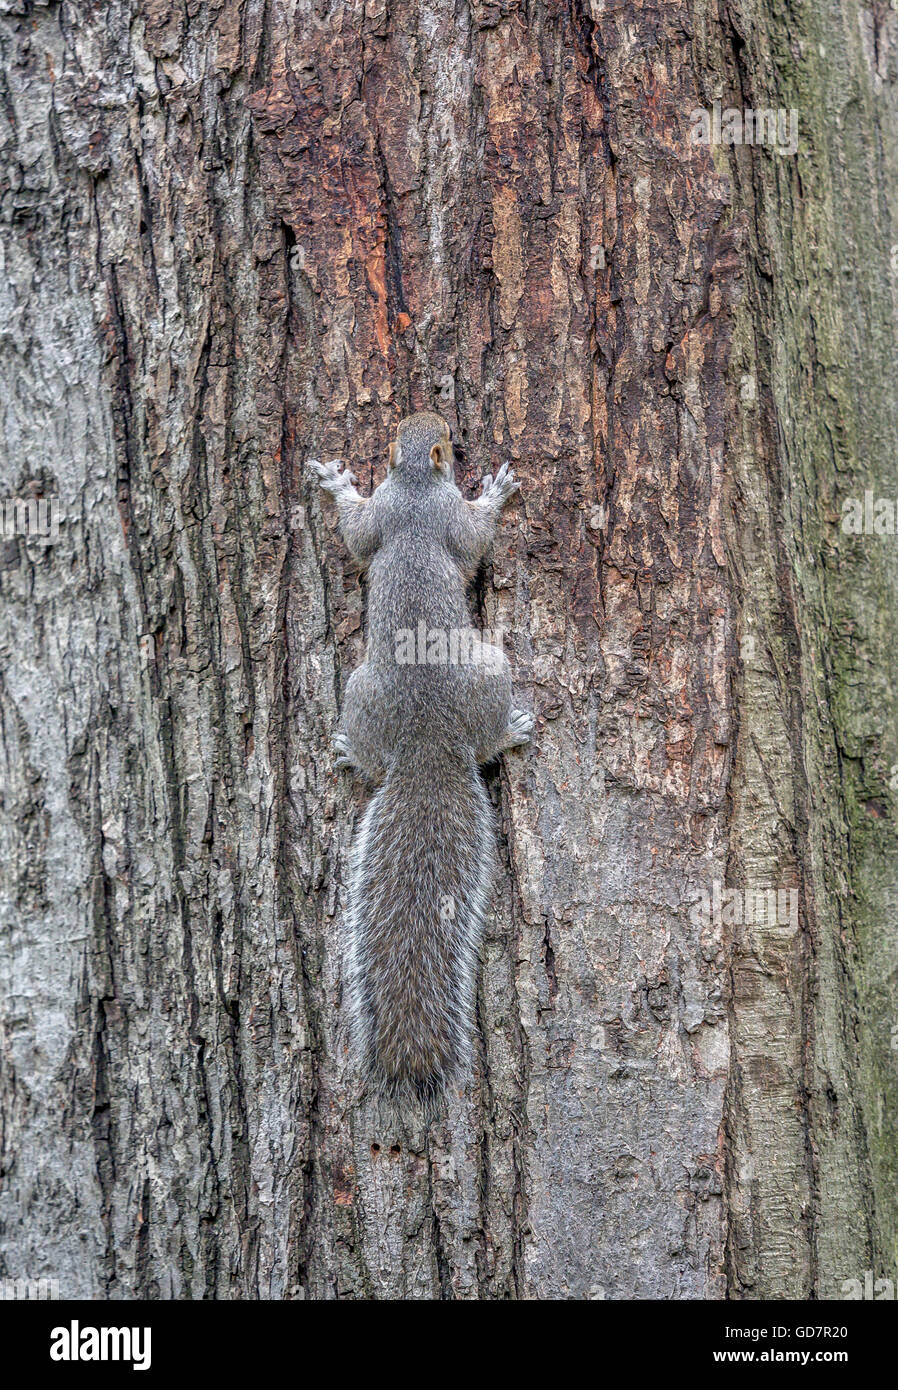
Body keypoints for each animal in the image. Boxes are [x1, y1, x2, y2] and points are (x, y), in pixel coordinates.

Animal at [308, 411, 533, 1101]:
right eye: (448, 442)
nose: (438, 420)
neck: (410, 483)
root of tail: (429, 743)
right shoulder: (437, 515)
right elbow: (471, 537)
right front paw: (497, 493)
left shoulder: (390, 509)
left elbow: (359, 538)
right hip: (477, 671)